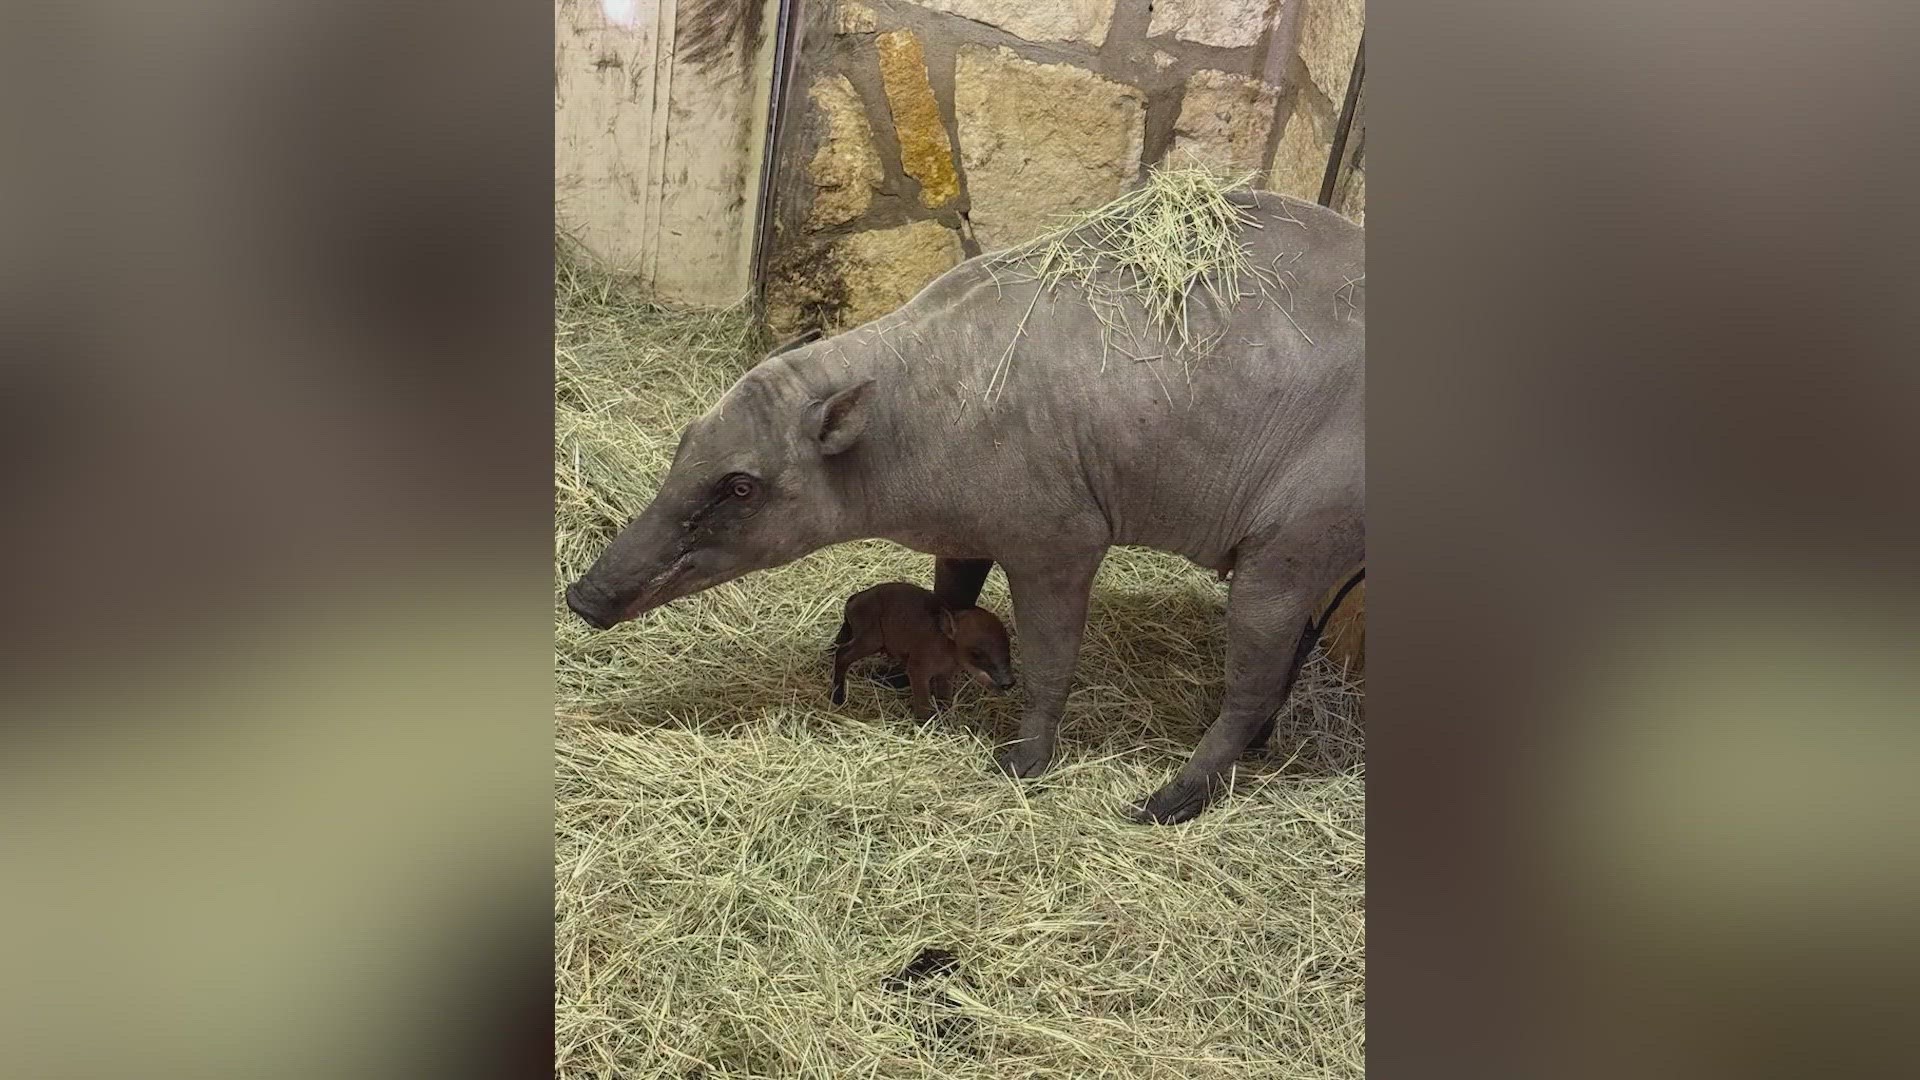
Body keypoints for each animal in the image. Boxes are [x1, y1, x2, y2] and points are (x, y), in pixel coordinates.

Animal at [829, 582, 1015, 720]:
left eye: (1008, 645)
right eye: (976, 653)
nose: (1009, 682)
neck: (945, 647)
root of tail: (854, 599)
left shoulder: (945, 675)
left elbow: (944, 698)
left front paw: (945, 718)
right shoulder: (918, 669)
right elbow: (923, 701)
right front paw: (925, 723)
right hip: (870, 639)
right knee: (842, 654)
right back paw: (838, 697)